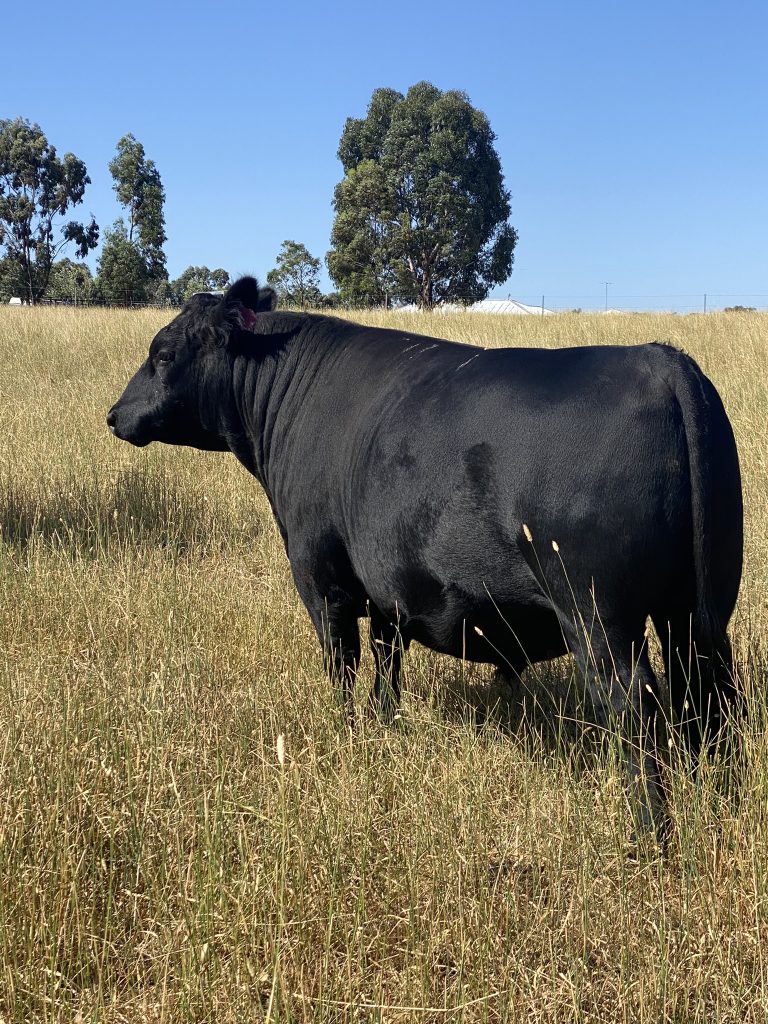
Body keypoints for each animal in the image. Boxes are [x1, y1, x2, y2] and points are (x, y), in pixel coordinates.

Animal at [107, 276, 743, 835]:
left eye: (162, 354)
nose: (114, 414)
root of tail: (662, 361)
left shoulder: (321, 577)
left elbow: (342, 665)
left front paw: (345, 734)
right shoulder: (387, 588)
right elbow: (386, 668)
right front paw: (384, 730)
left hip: (599, 615)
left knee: (636, 707)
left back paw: (650, 834)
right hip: (696, 612)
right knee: (709, 695)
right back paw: (716, 799)